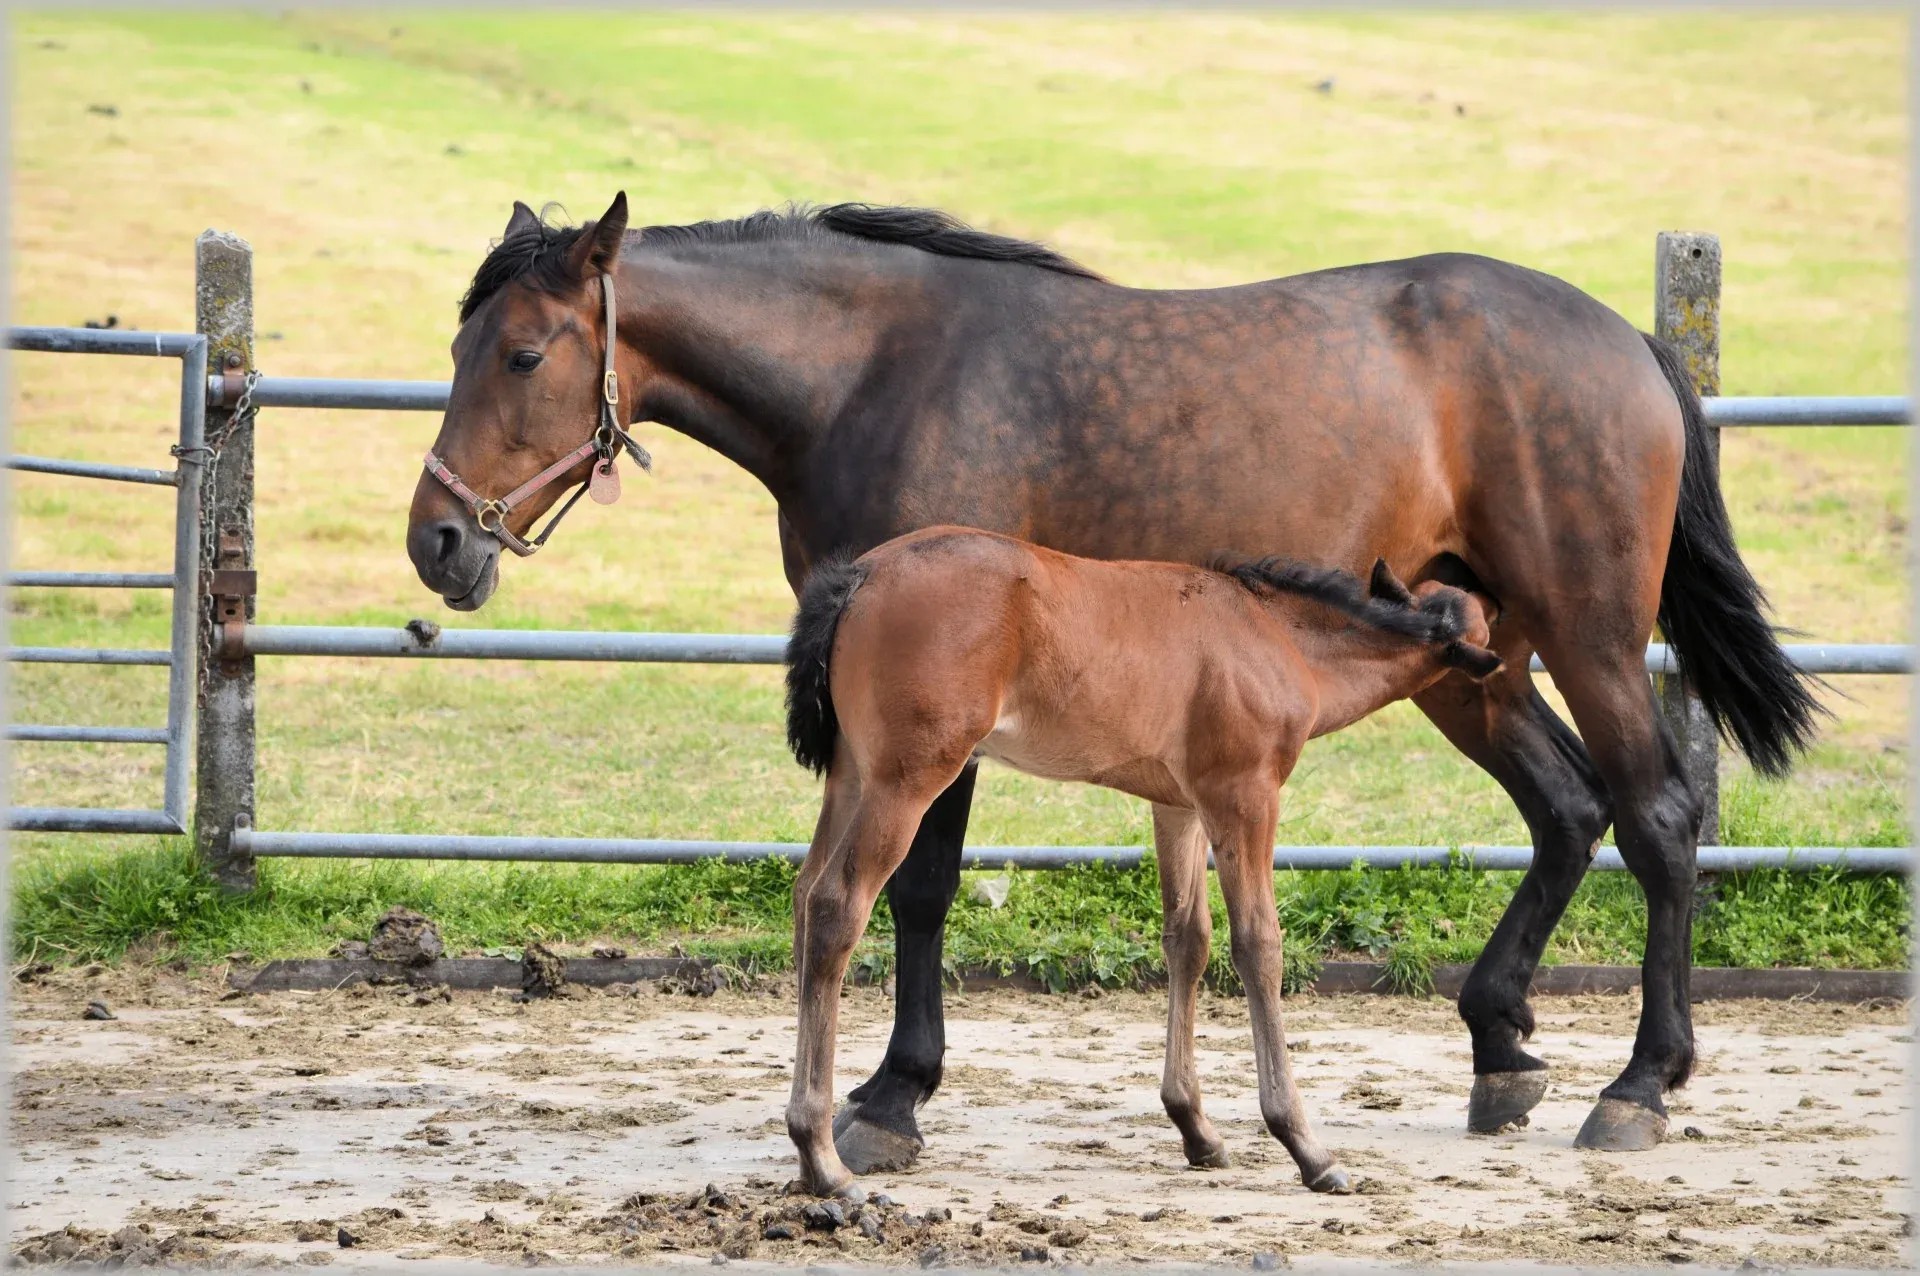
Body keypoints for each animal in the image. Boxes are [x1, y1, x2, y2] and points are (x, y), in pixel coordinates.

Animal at [778, 528, 1505, 1197]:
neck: (1277, 636)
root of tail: (863, 574)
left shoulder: (1180, 805)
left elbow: (1188, 938)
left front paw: (1196, 1129)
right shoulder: (1245, 796)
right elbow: (1259, 946)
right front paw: (1305, 1145)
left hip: (853, 776)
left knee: (806, 895)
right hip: (907, 780)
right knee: (838, 906)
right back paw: (823, 1158)